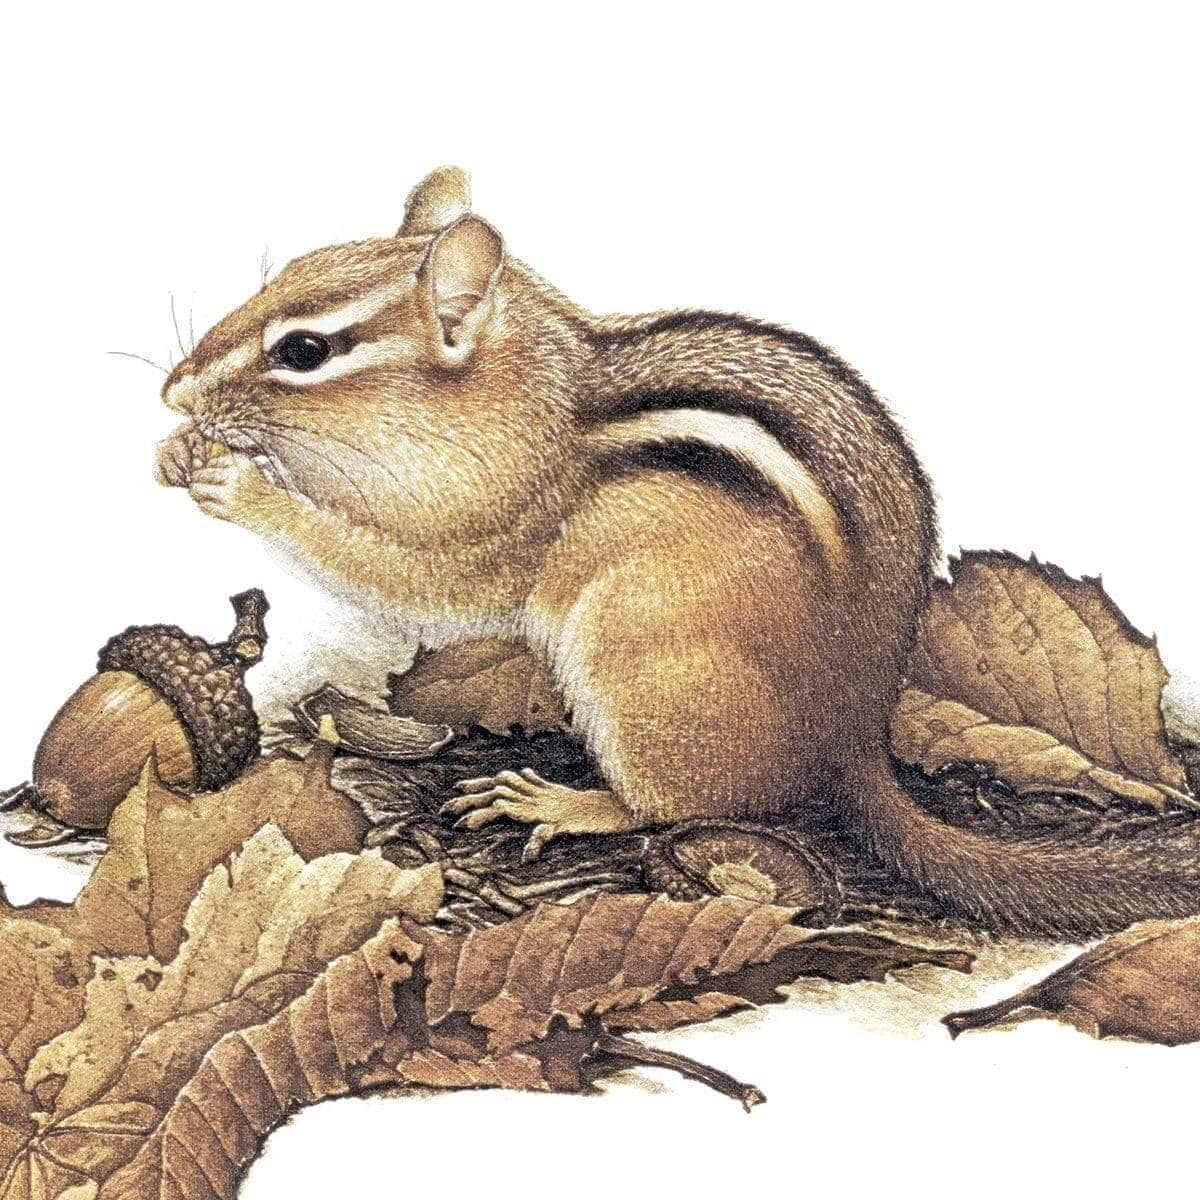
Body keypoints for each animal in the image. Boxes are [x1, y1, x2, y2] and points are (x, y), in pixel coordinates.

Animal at [155, 166, 1200, 936]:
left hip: (641, 659)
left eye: (303, 351)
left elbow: (404, 571)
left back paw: (562, 804)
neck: (518, 391)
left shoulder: (494, 519)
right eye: (277, 276)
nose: (171, 390)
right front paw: (177, 453)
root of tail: (856, 734)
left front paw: (237, 485)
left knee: (679, 803)